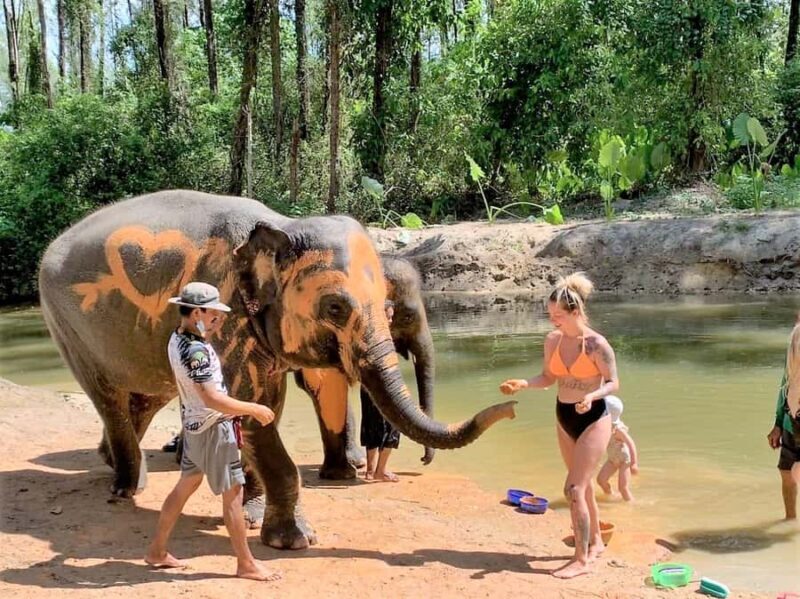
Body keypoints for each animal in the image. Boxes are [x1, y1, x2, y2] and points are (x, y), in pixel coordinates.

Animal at [38, 190, 516, 550]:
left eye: (387, 307)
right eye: (335, 308)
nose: (509, 405)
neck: (281, 225)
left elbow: (273, 403)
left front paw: (249, 515)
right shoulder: (225, 312)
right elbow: (250, 408)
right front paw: (296, 541)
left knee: (144, 396)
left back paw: (114, 464)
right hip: (65, 324)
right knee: (109, 397)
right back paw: (126, 490)